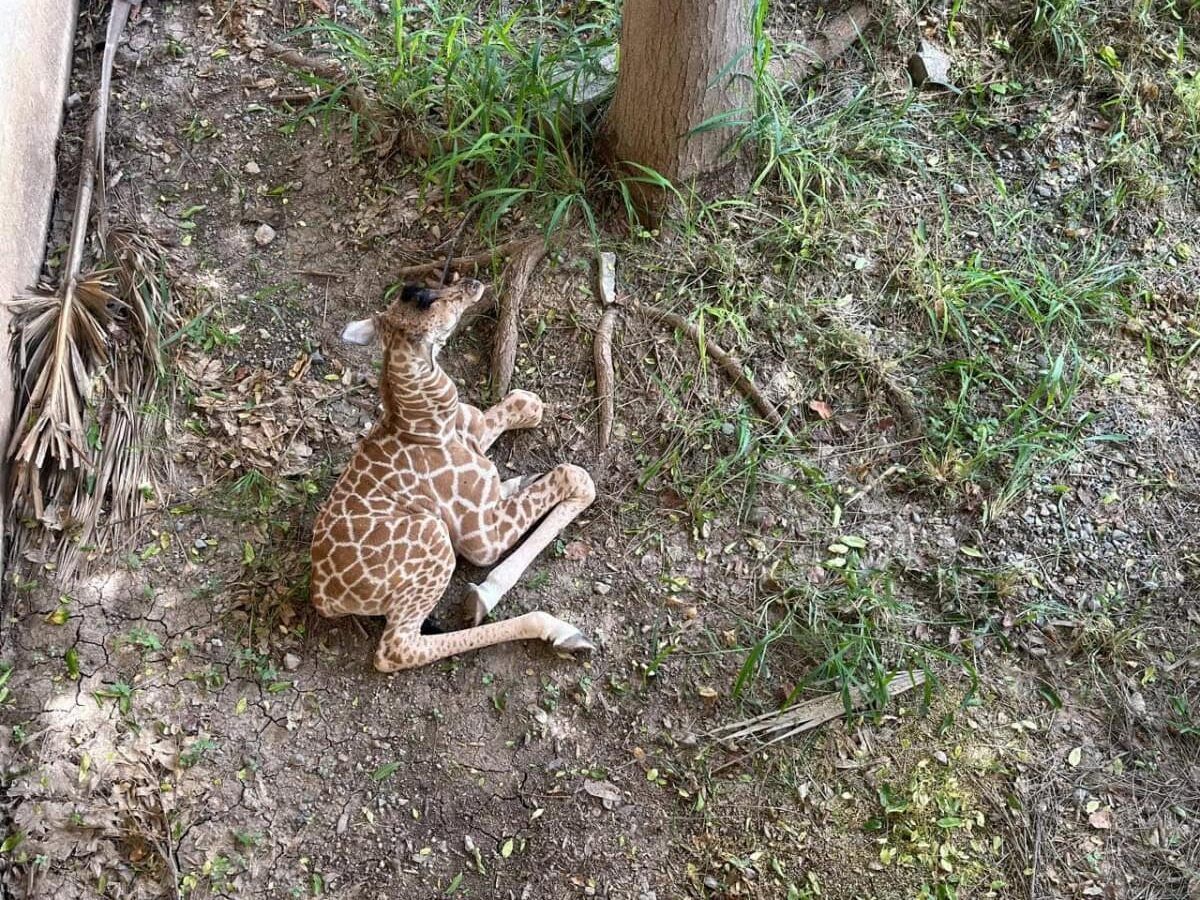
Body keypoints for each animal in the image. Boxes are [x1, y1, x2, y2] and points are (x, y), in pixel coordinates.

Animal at [310, 277, 597, 672]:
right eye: (430, 301)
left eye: (419, 289)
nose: (473, 284)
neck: (429, 423)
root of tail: (325, 599)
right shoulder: (483, 539)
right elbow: (577, 475)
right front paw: (483, 595)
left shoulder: (475, 430)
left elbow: (528, 401)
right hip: (434, 539)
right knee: (397, 649)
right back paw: (559, 630)